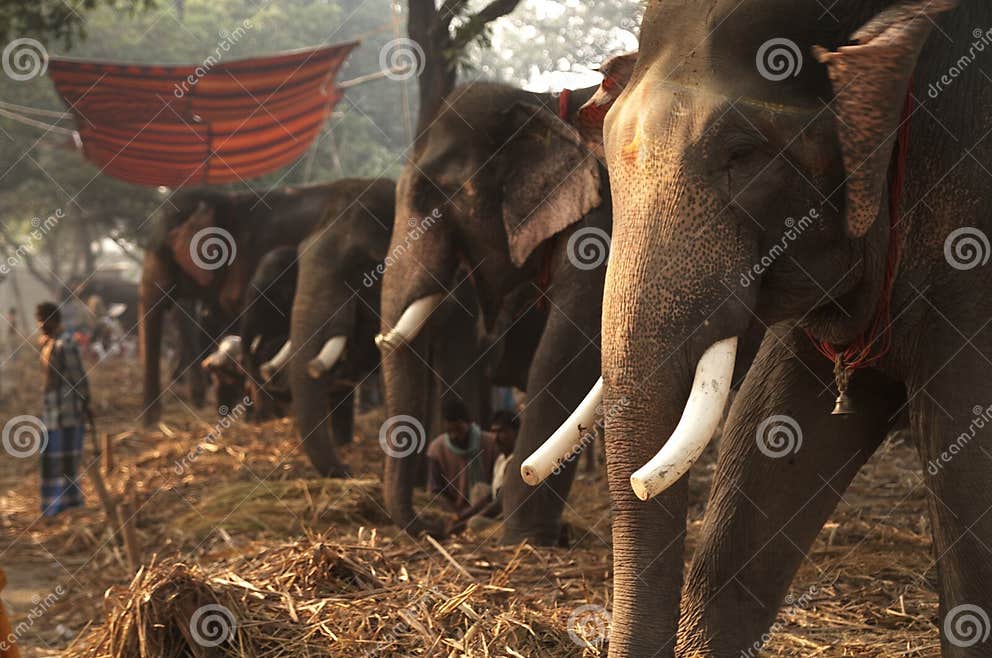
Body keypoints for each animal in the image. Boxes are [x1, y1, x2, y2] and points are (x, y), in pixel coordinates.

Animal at [376, 80, 612, 542]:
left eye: (432, 195)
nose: (432, 526)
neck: (544, 103)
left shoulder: (603, 225)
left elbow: (566, 352)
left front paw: (522, 537)